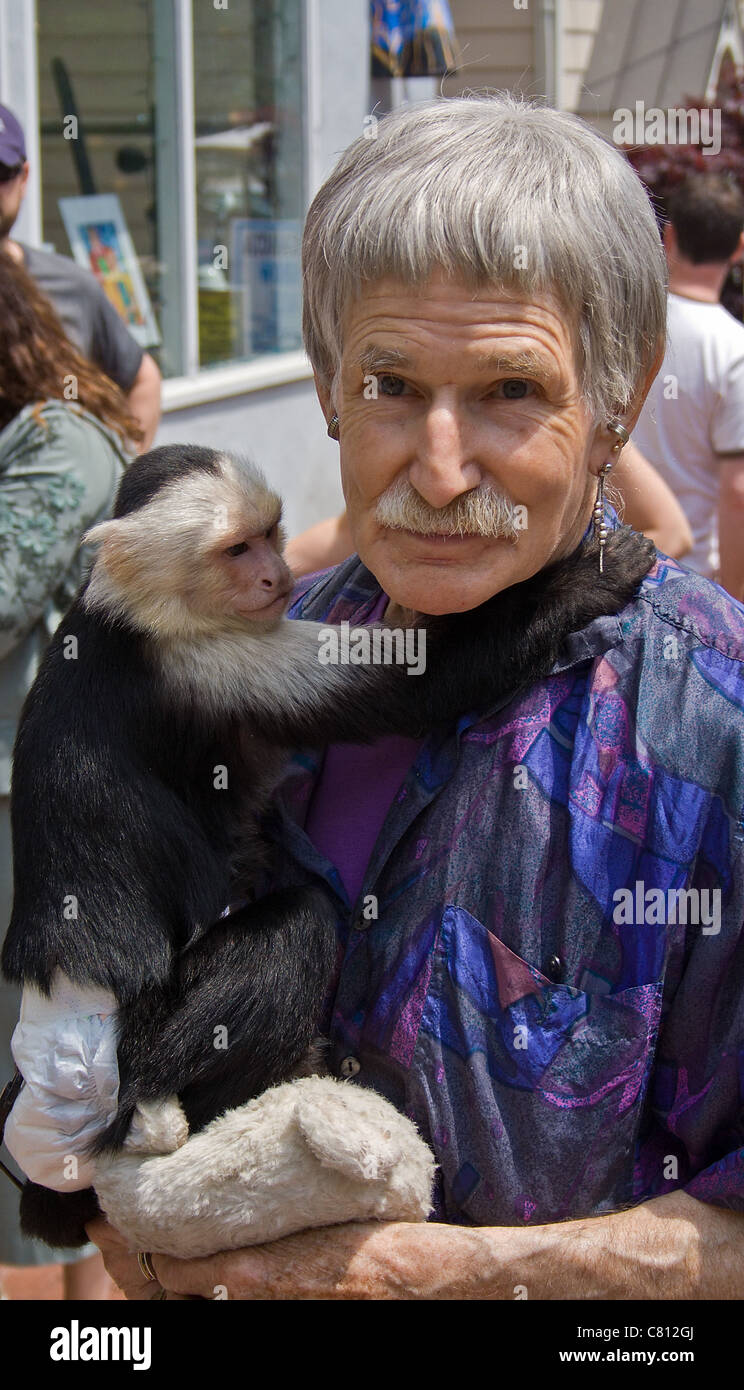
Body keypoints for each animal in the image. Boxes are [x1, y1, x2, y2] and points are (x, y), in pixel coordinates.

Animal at [0, 444, 656, 1247]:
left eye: (271, 535)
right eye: (236, 550)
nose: (276, 578)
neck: (128, 612)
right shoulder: (204, 655)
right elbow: (411, 685)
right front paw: (581, 584)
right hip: (144, 1054)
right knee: (300, 928)